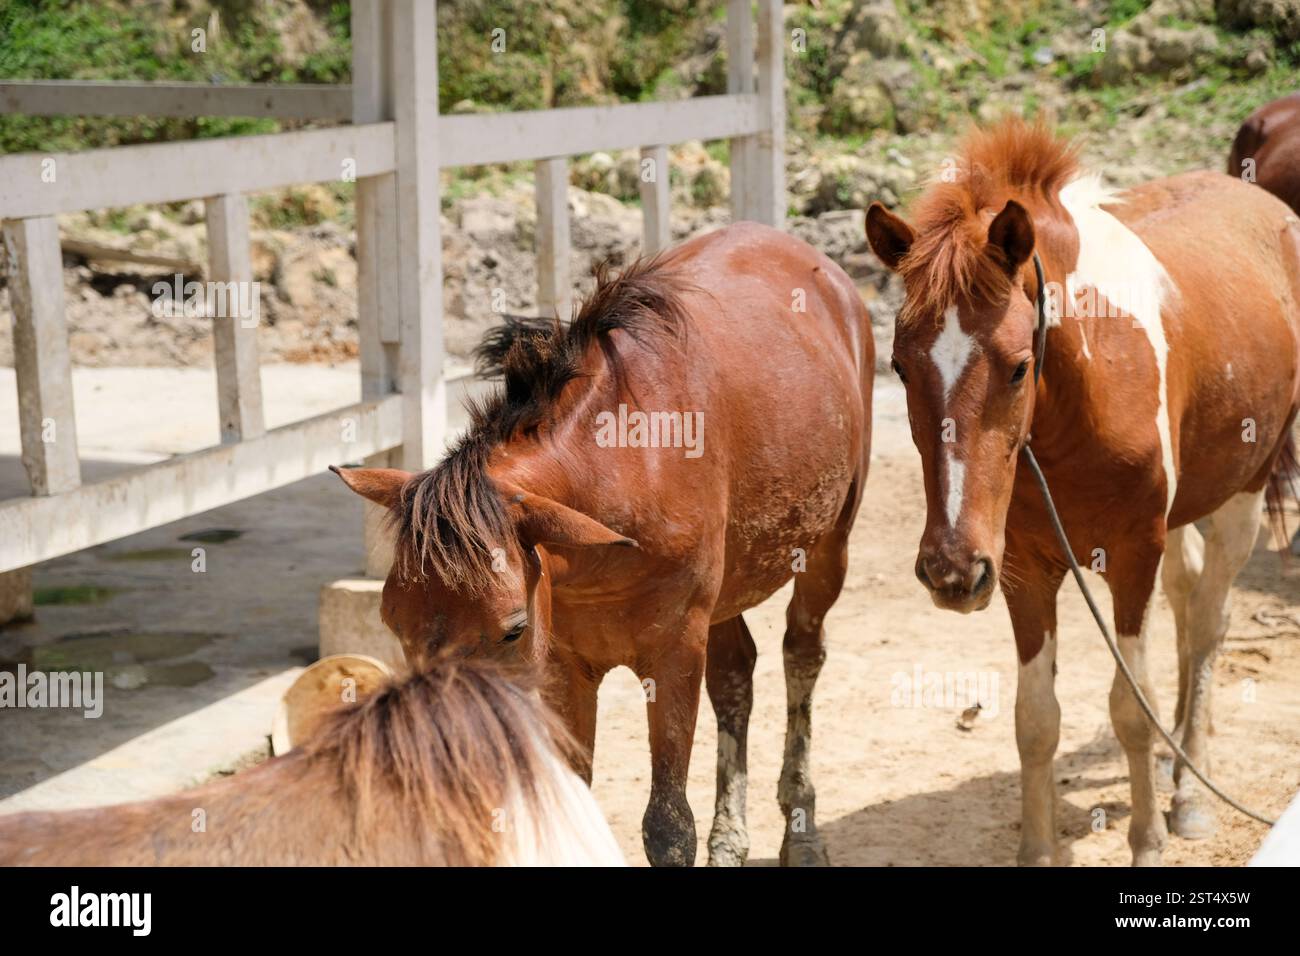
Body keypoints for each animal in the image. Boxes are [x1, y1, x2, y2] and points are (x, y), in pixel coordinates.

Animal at [333, 221, 874, 866]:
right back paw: (731, 838)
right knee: (736, 676)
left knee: (802, 656)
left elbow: (668, 826)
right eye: (391, 620)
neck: (627, 465)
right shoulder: (564, 666)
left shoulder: (673, 654)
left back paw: (803, 830)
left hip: (828, 548)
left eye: (511, 630)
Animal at [865, 117, 1300, 866]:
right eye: (898, 364)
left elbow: (1129, 707)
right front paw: (1038, 849)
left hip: (1243, 493)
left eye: (1018, 367)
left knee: (1209, 622)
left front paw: (1149, 840)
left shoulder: (1132, 554)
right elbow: (1035, 719)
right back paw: (1174, 757)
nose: (950, 570)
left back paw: (1190, 787)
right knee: (1187, 600)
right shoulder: (1020, 566)